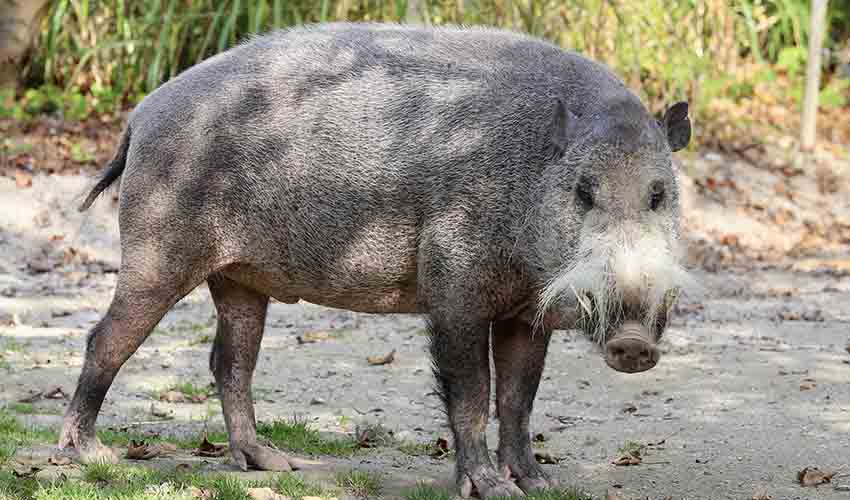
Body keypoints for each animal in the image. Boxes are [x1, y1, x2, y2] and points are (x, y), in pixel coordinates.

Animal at [61, 22, 692, 498]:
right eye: (584, 192)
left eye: (658, 194)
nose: (633, 342)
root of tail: (141, 117)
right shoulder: (452, 288)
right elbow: (472, 391)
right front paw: (492, 490)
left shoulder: (525, 309)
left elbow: (519, 396)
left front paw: (540, 485)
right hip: (155, 251)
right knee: (105, 339)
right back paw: (93, 456)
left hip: (238, 278)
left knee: (229, 361)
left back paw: (272, 463)